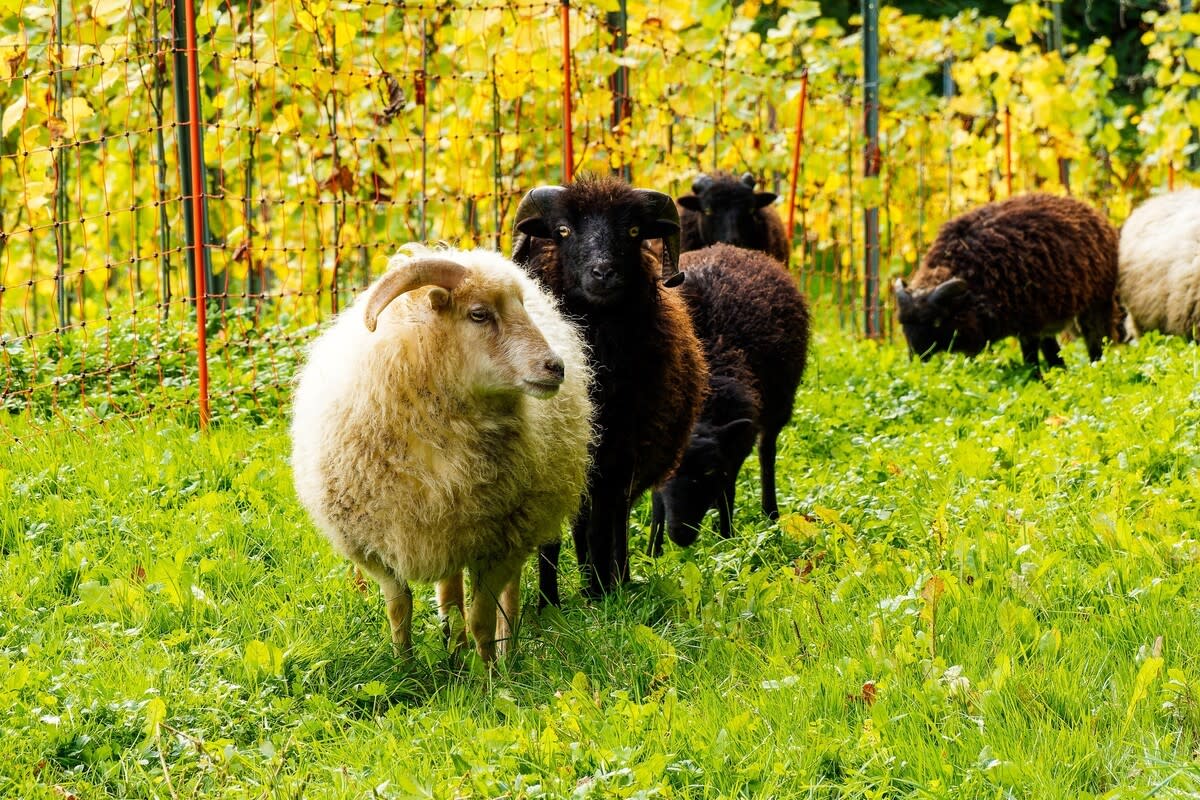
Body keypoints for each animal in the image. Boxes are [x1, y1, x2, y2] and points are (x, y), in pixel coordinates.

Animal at [290, 246, 593, 662]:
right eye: (479, 313)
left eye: (521, 306)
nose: (556, 367)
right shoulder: (376, 546)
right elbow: (399, 609)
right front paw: (404, 667)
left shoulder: (501, 542)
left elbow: (483, 617)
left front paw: (491, 673)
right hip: (447, 528)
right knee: (450, 591)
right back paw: (455, 653)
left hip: (515, 523)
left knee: (508, 595)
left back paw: (506, 649)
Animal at [511, 174, 708, 602]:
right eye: (563, 230)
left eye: (633, 231)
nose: (603, 273)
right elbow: (555, 537)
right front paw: (548, 604)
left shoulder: (620, 452)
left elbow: (602, 525)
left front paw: (603, 594)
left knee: (610, 519)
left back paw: (614, 580)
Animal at [647, 244, 810, 554]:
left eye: (709, 472)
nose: (681, 535)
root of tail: (727, 248)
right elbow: (655, 499)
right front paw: (653, 552)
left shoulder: (735, 447)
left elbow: (728, 490)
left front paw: (726, 539)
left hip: (778, 408)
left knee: (767, 454)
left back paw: (770, 513)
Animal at [893, 193, 1119, 370]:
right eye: (903, 324)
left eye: (936, 322)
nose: (917, 362)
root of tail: (1083, 206)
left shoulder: (1028, 323)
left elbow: (1031, 362)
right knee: (1054, 354)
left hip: (1096, 303)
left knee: (1095, 342)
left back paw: (1095, 369)